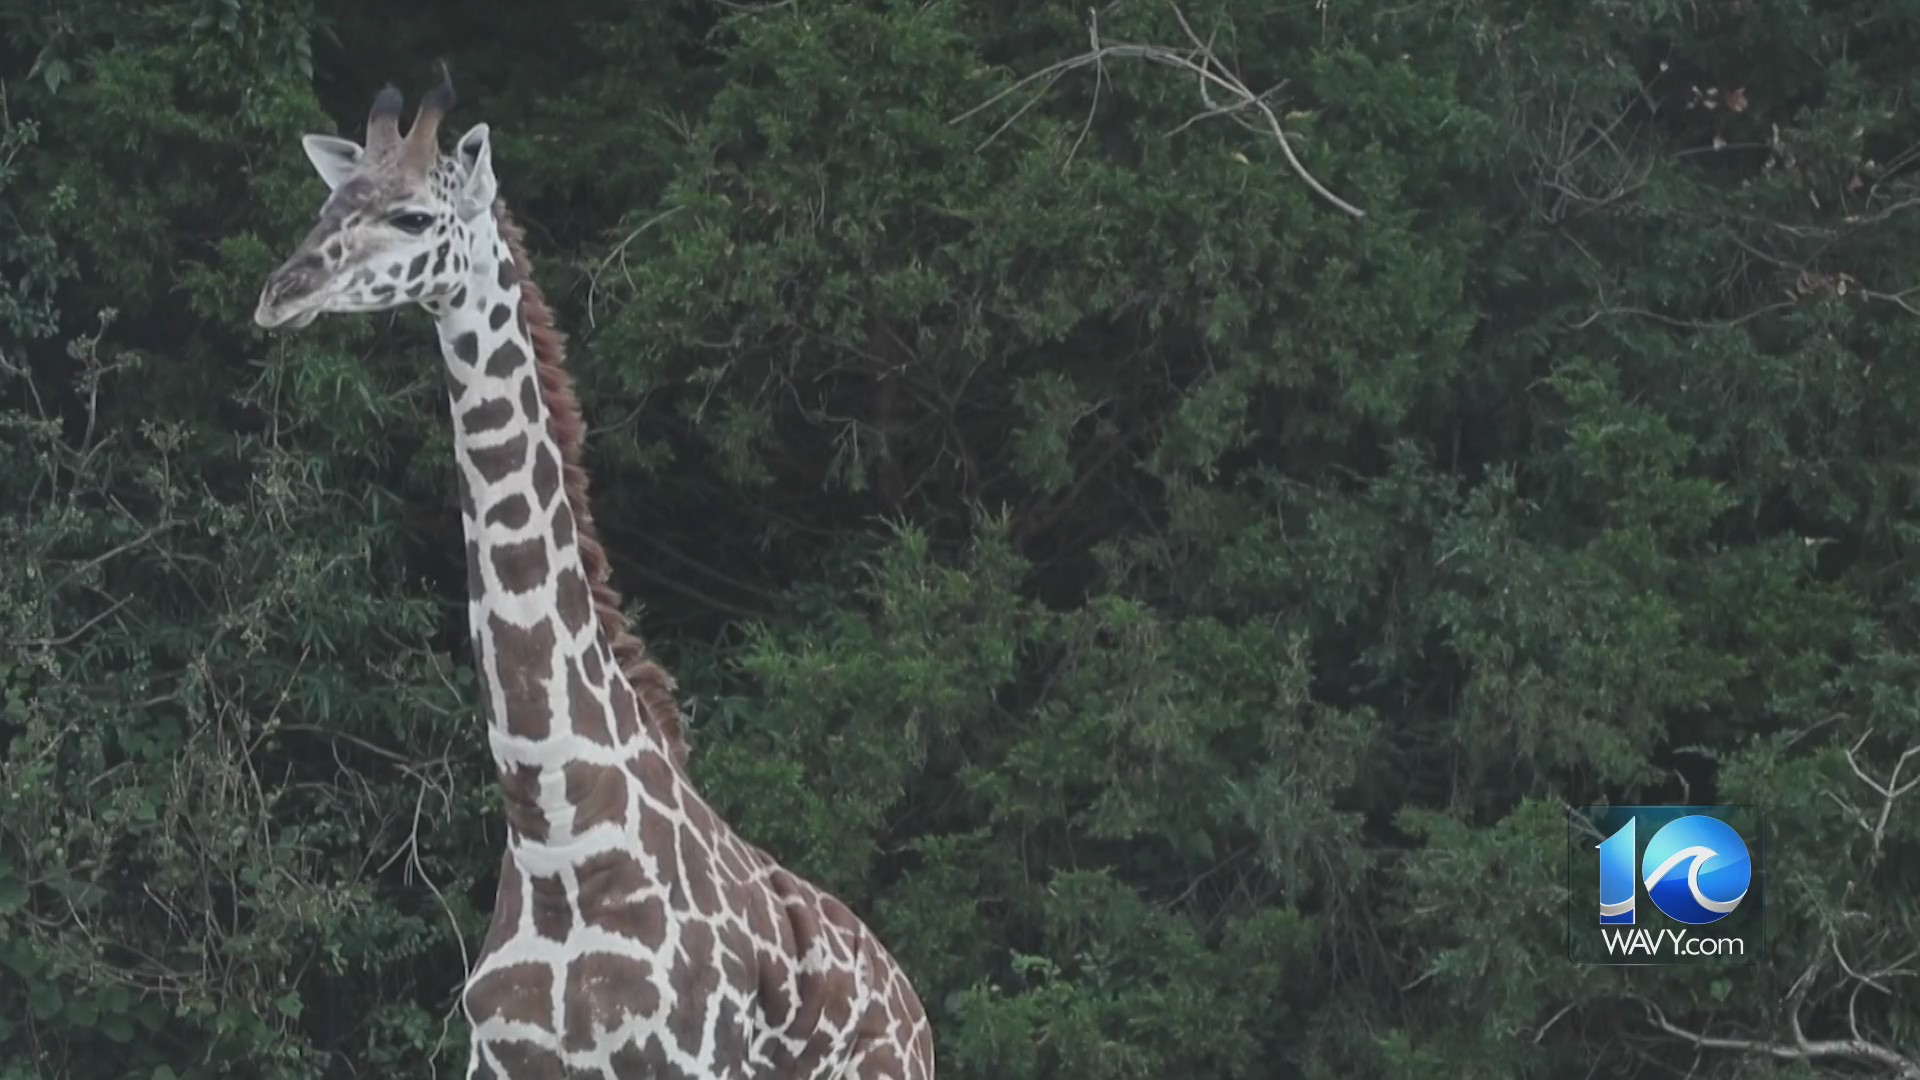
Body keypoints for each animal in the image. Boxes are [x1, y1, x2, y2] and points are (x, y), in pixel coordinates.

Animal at [253, 76, 934, 1080]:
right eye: (326, 208)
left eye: (415, 215)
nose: (282, 292)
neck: (556, 832)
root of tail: (909, 1002)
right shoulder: (496, 1059)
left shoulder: (684, 1057)